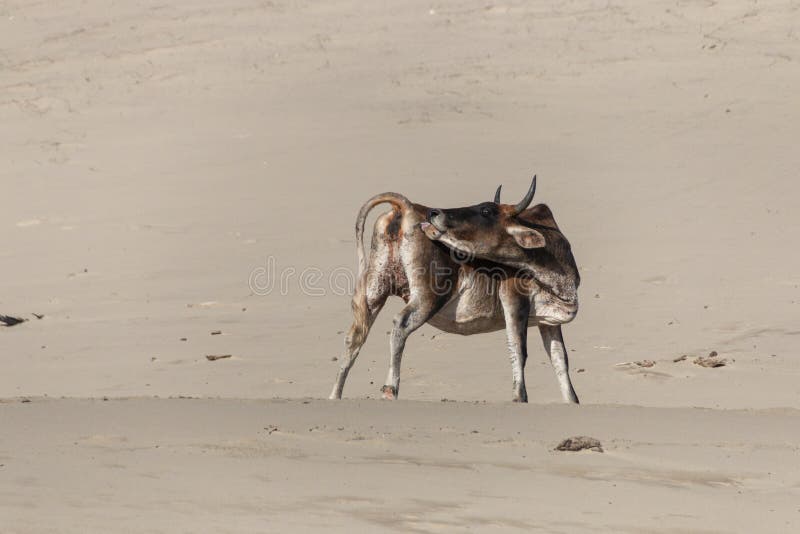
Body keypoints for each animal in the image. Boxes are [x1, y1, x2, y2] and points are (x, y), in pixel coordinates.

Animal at [329, 176, 581, 403]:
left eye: (486, 210)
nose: (433, 214)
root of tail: (405, 207)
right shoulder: (514, 299)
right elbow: (518, 349)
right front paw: (519, 397)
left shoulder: (549, 321)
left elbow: (560, 360)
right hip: (428, 297)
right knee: (400, 323)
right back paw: (390, 389)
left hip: (375, 289)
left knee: (355, 335)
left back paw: (335, 395)